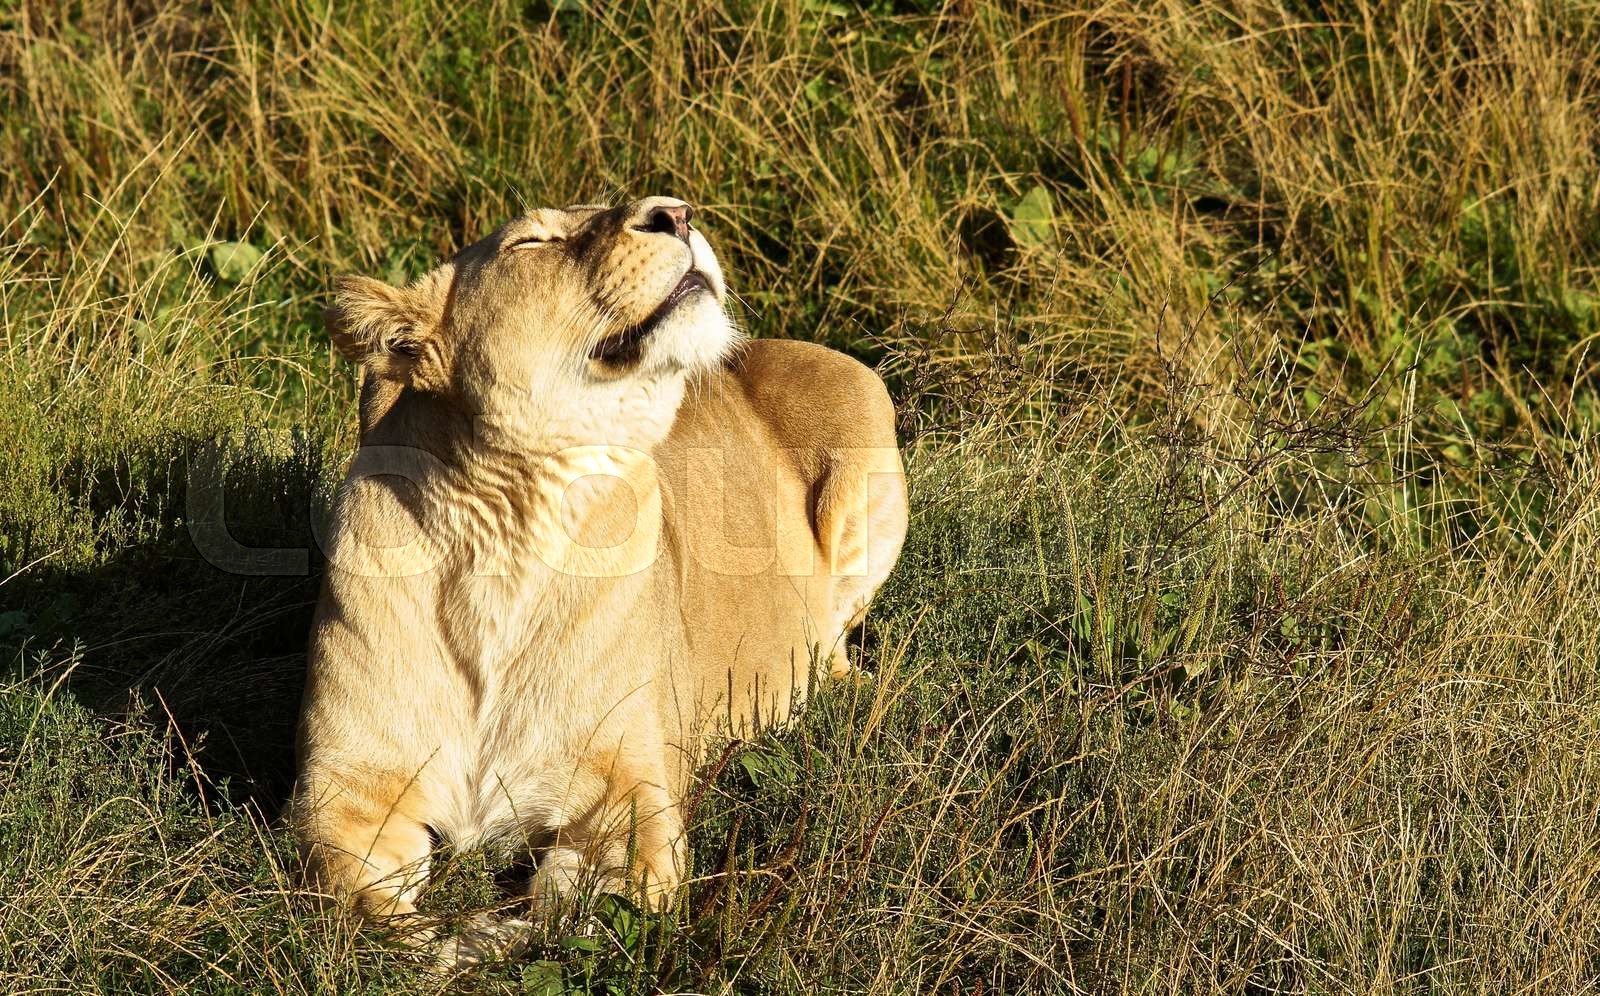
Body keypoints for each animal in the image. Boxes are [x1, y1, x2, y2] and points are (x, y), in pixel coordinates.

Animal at [291, 196, 907, 963]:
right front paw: (440, 943)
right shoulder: (341, 793)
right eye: (532, 242)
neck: (512, 536)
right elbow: (363, 910)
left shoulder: (632, 804)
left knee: (841, 652)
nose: (678, 212)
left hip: (865, 424)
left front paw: (490, 936)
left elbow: (591, 913)